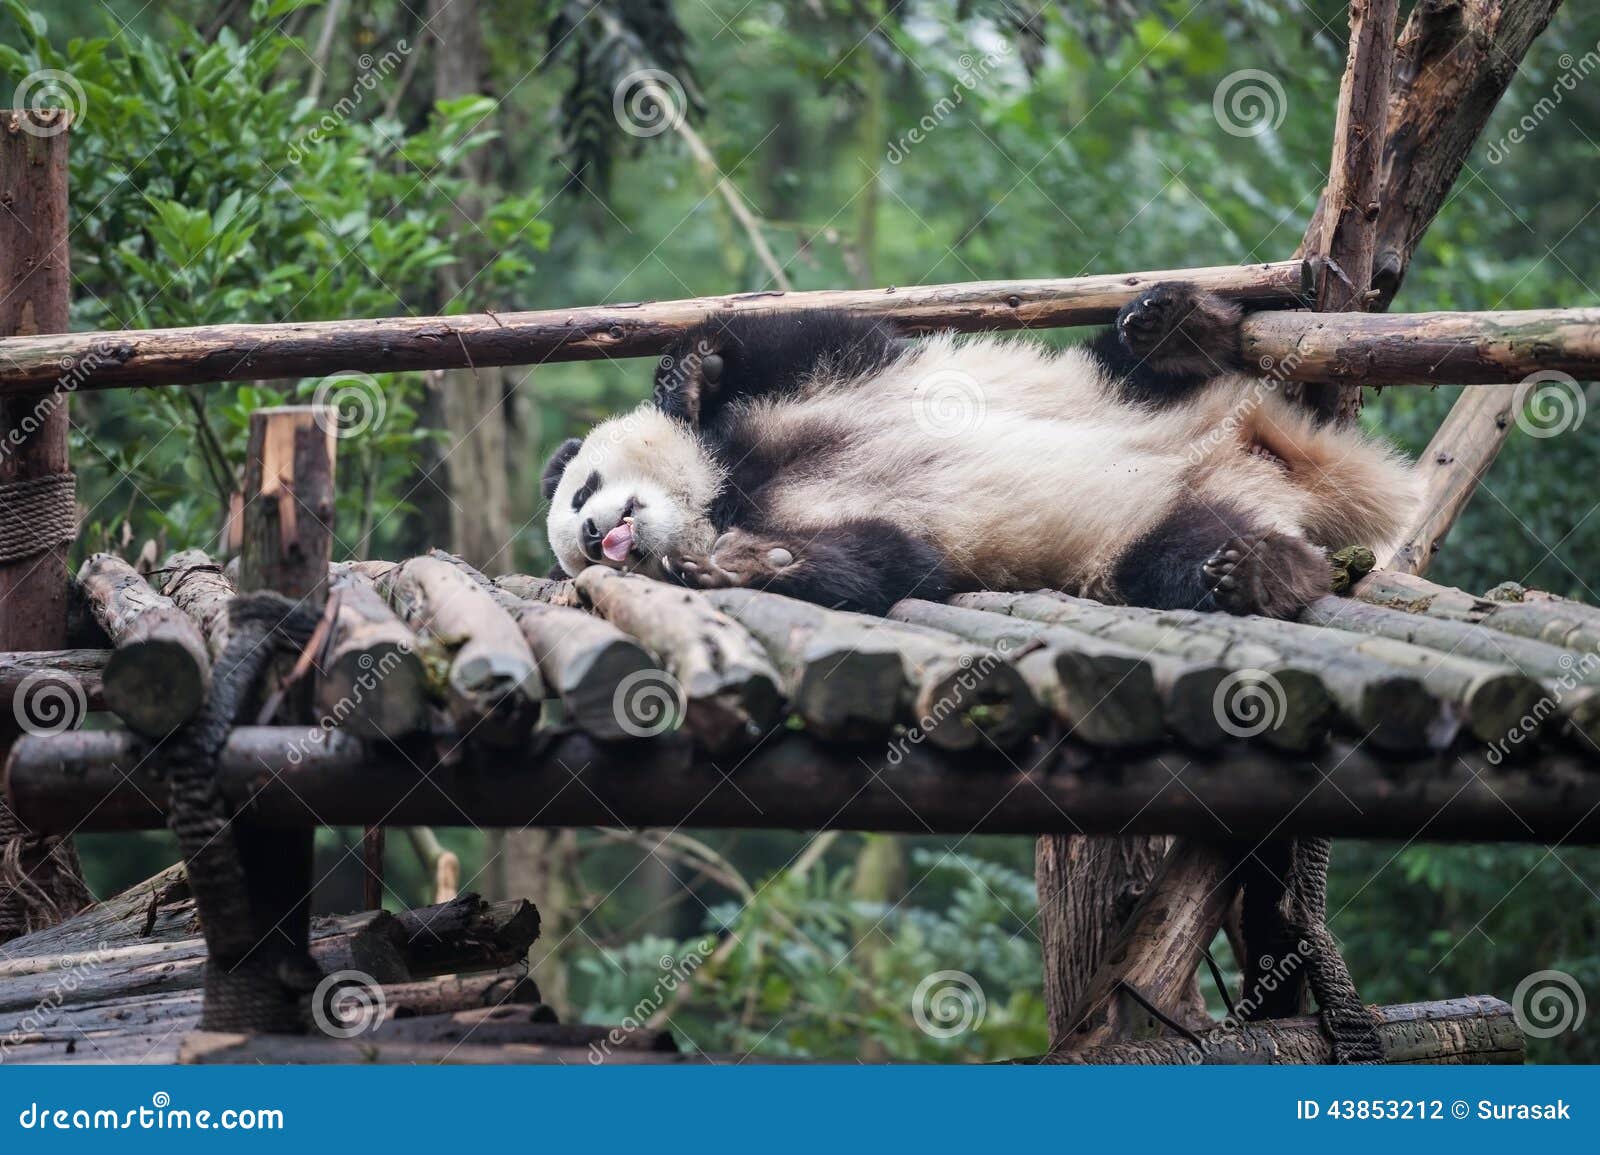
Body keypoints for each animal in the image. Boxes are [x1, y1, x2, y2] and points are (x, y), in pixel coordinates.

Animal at [542, 282, 1418, 619]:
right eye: (576, 555)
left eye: (581, 488)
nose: (593, 533)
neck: (727, 488)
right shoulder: (865, 528)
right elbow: (888, 561)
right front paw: (739, 565)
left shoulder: (826, 378)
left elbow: (800, 335)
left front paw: (686, 375)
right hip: (1136, 534)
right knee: (1177, 553)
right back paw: (1262, 570)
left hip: (1111, 388)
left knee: (1132, 361)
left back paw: (1172, 323)